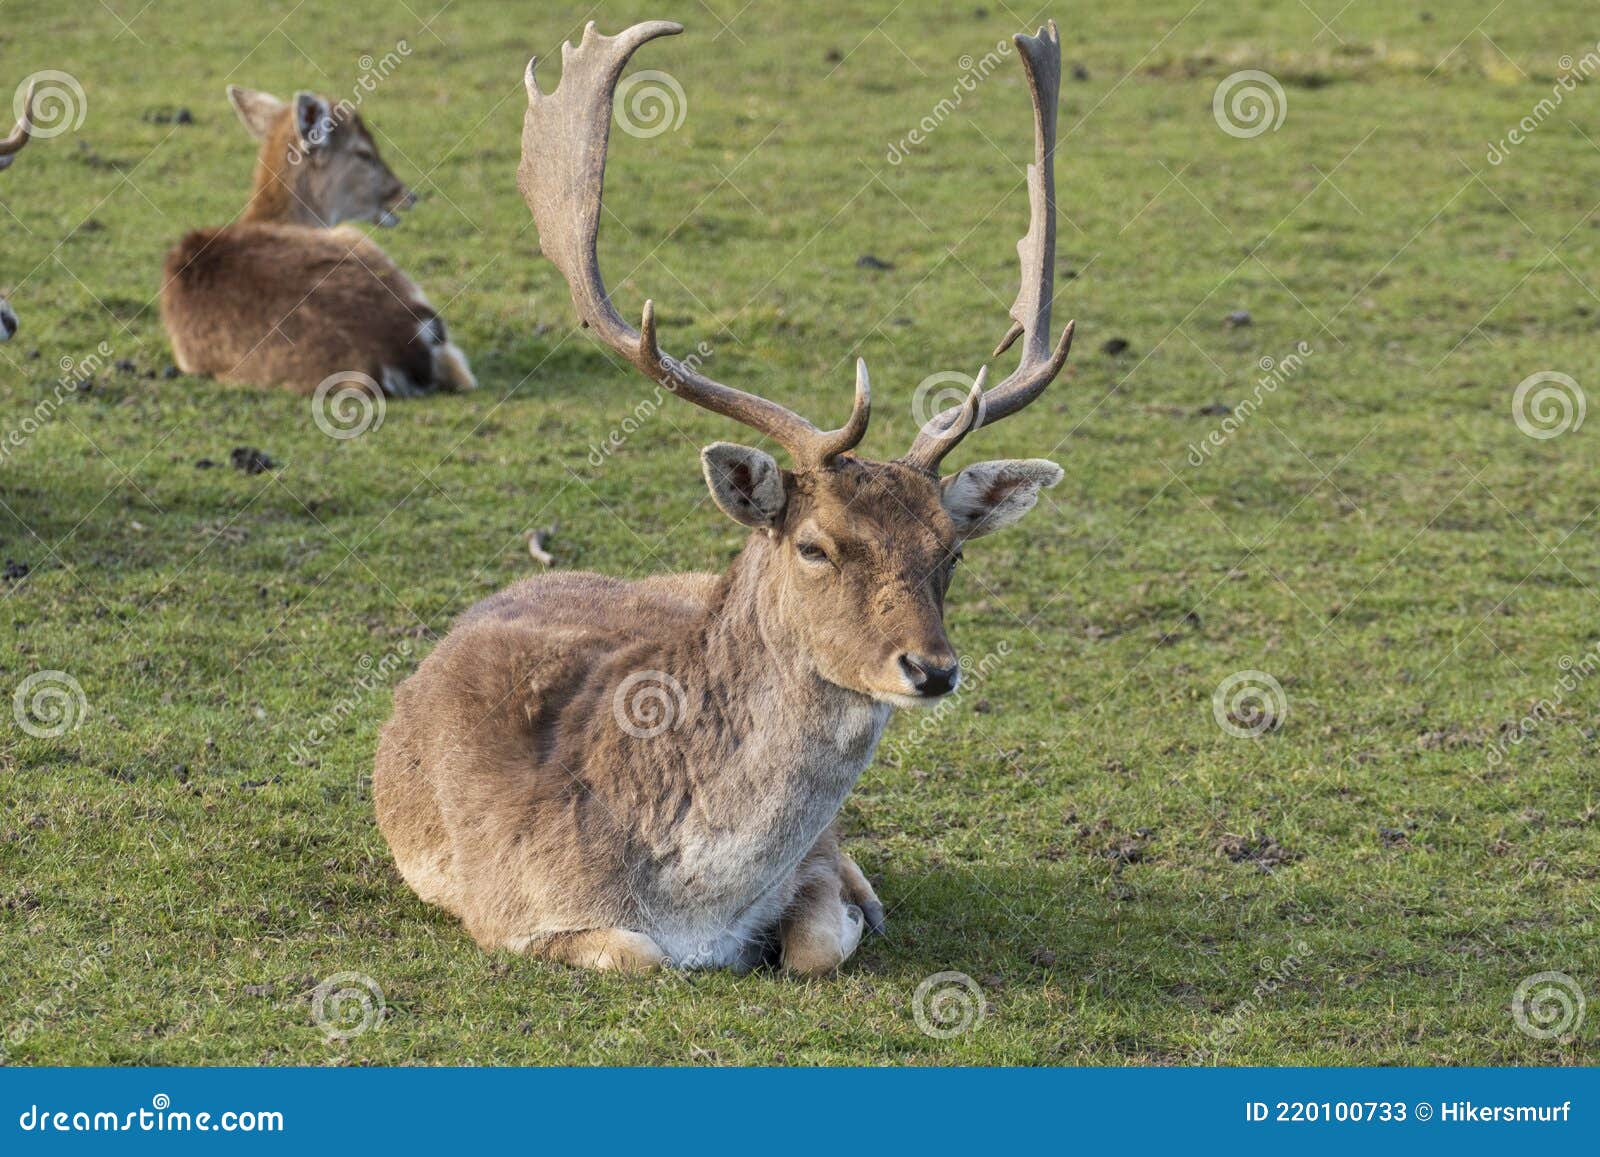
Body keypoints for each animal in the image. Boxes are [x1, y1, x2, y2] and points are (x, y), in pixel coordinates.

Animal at [373, 19, 1074, 975]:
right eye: (816, 544)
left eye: (953, 551)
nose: (931, 668)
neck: (695, 899)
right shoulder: (509, 909)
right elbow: (639, 953)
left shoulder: (804, 874)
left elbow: (818, 938)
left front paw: (851, 909)